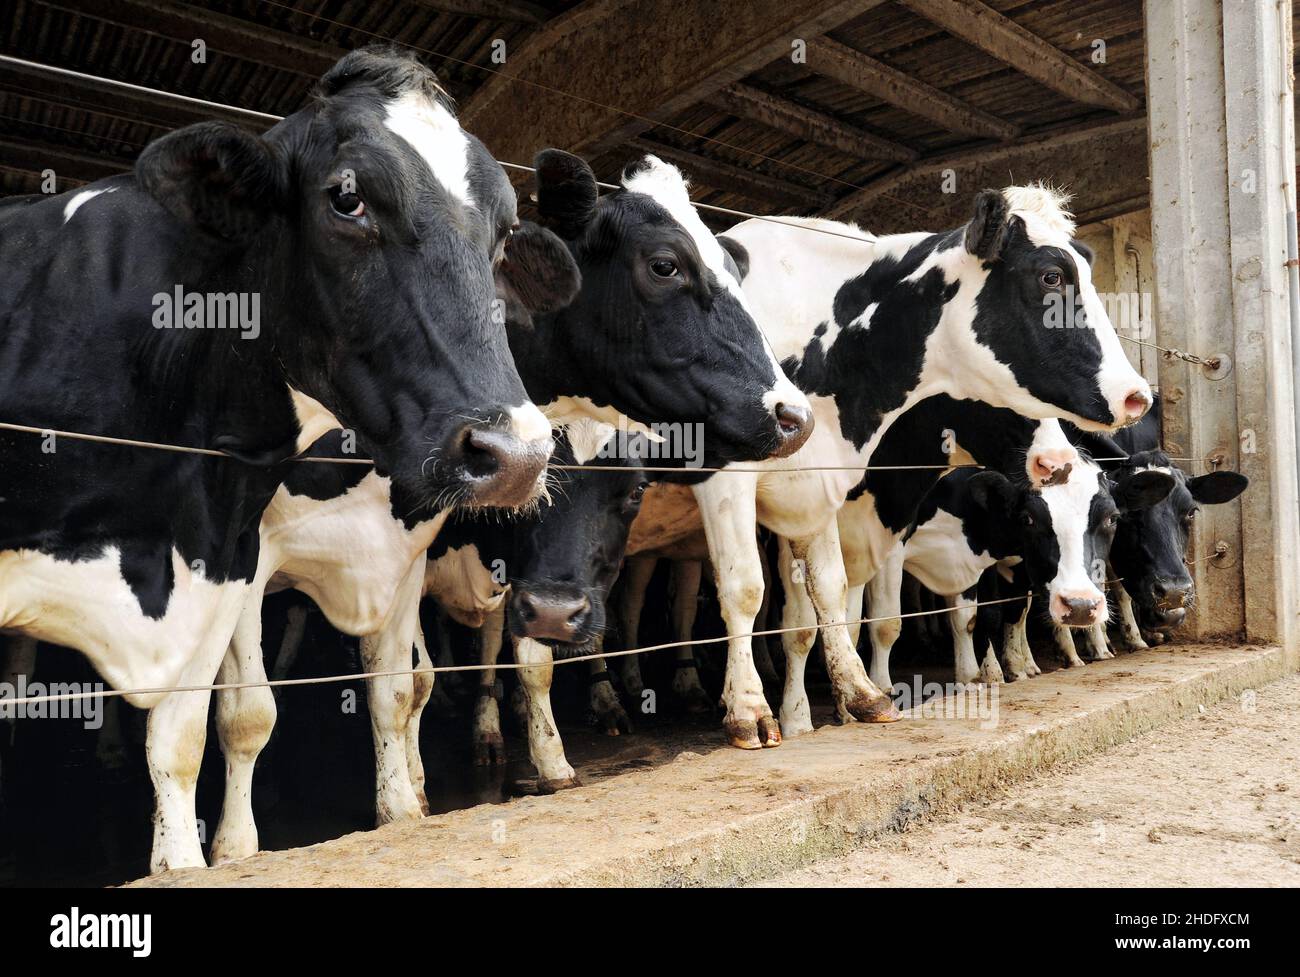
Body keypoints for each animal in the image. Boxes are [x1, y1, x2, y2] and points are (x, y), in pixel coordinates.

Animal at [0, 47, 557, 871]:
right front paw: (236, 848)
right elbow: (246, 714)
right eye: (346, 198)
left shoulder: (240, 556)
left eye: (505, 229)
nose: (516, 452)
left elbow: (198, 738)